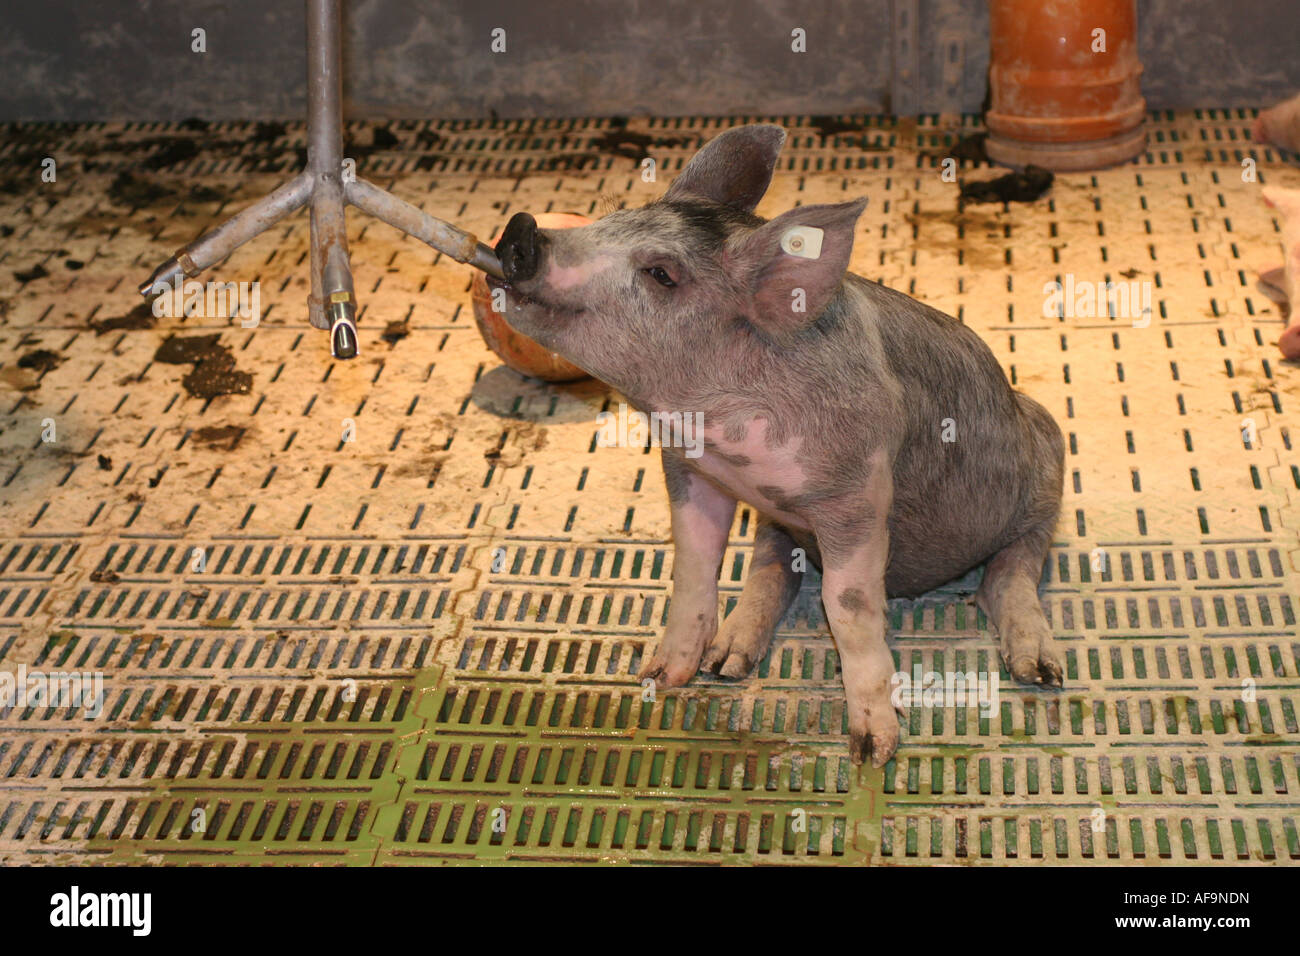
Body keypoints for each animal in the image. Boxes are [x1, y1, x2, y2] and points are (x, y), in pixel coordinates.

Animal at [489, 125, 1065, 766]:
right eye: (614, 215)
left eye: (662, 274)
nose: (521, 230)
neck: (721, 427)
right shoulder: (689, 468)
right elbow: (693, 564)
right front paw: (659, 679)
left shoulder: (856, 488)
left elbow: (848, 605)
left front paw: (873, 751)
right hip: (779, 524)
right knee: (771, 562)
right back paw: (726, 662)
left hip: (1048, 464)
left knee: (1013, 565)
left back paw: (1042, 673)